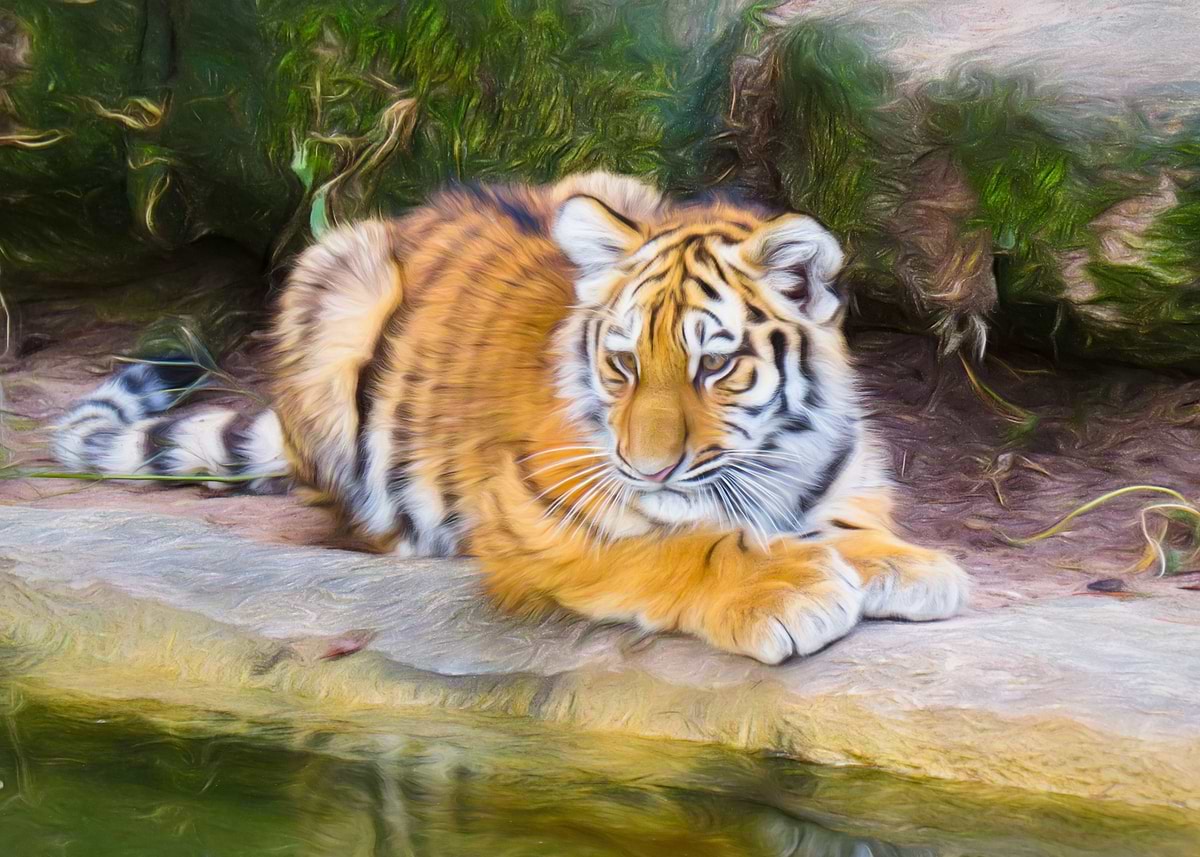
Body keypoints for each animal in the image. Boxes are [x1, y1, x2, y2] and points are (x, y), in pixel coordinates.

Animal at [52, 171, 969, 664]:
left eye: (714, 364)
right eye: (623, 362)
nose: (647, 466)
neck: (768, 461)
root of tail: (414, 213)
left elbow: (845, 521)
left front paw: (906, 562)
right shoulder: (537, 513)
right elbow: (675, 548)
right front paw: (788, 589)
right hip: (339, 275)